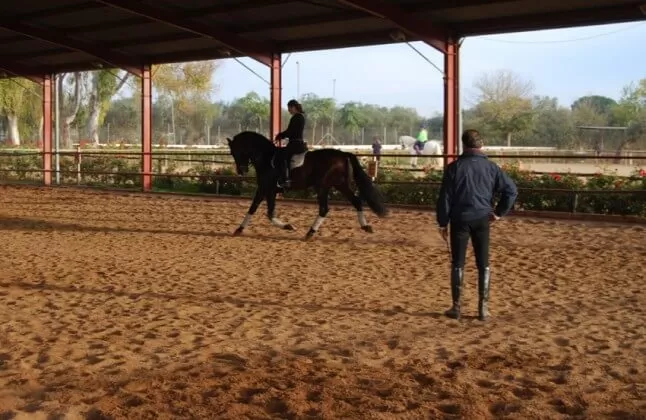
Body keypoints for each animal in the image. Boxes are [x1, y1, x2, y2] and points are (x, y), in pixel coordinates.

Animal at [228, 130, 390, 240]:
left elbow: (254, 208)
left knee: (324, 209)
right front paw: (288, 226)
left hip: (323, 186)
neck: (266, 158)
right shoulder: (270, 190)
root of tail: (343, 154)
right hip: (340, 185)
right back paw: (366, 226)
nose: (241, 171)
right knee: (356, 201)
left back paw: (310, 232)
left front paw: (239, 229)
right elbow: (268, 213)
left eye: (235, 151)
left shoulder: (265, 188)